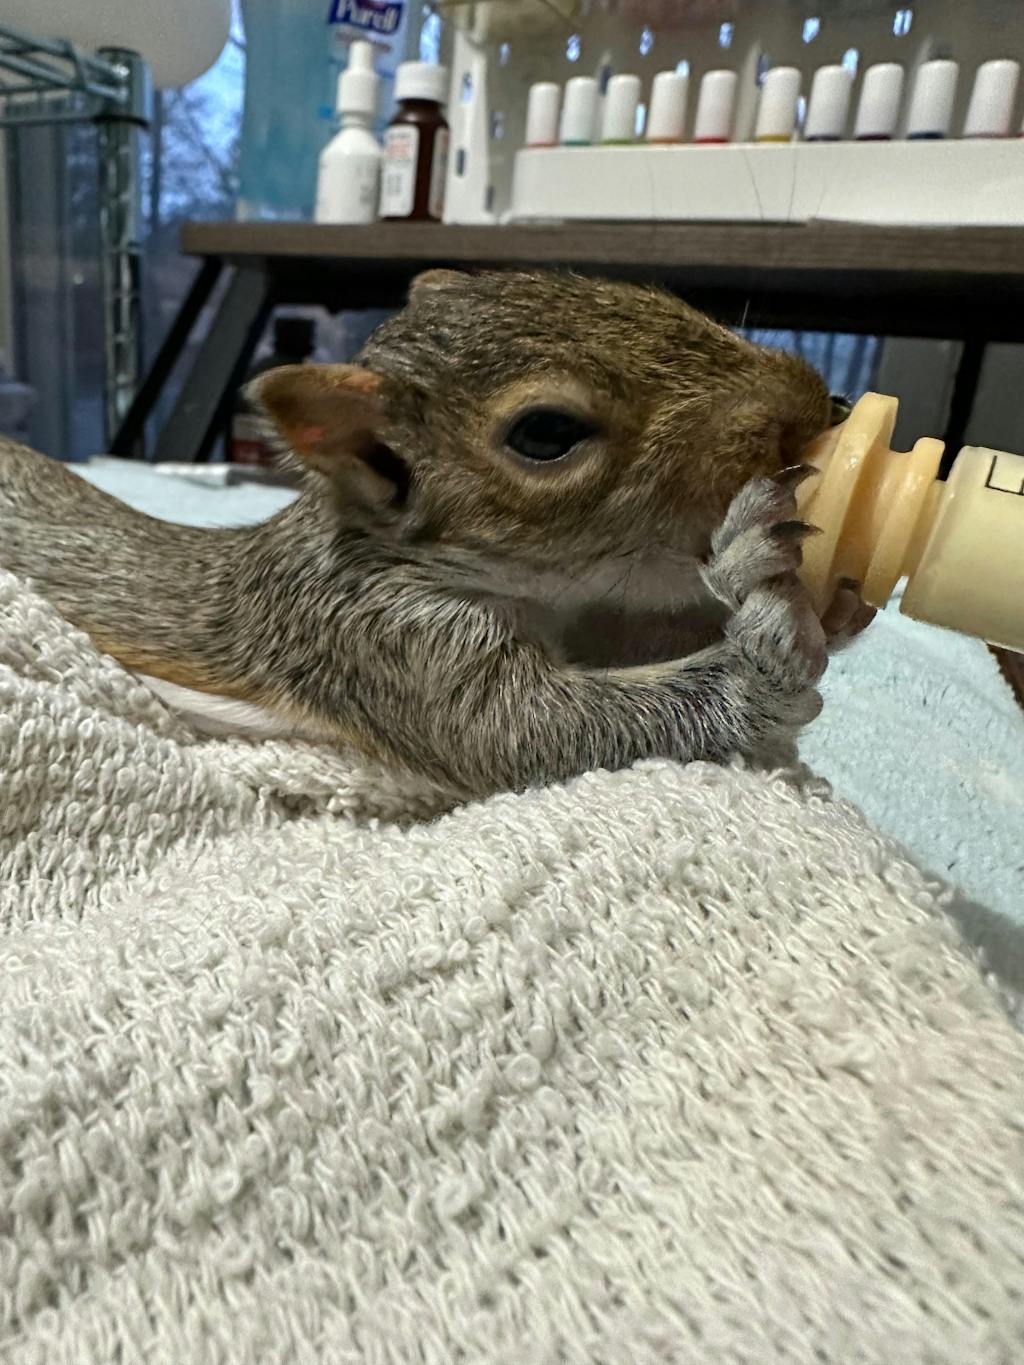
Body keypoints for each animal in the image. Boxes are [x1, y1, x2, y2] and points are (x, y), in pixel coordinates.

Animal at [0, 269, 870, 798]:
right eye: (546, 432)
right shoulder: (381, 633)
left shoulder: (596, 609)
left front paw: (817, 598)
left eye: (654, 296)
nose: (811, 403)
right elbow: (524, 729)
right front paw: (764, 648)